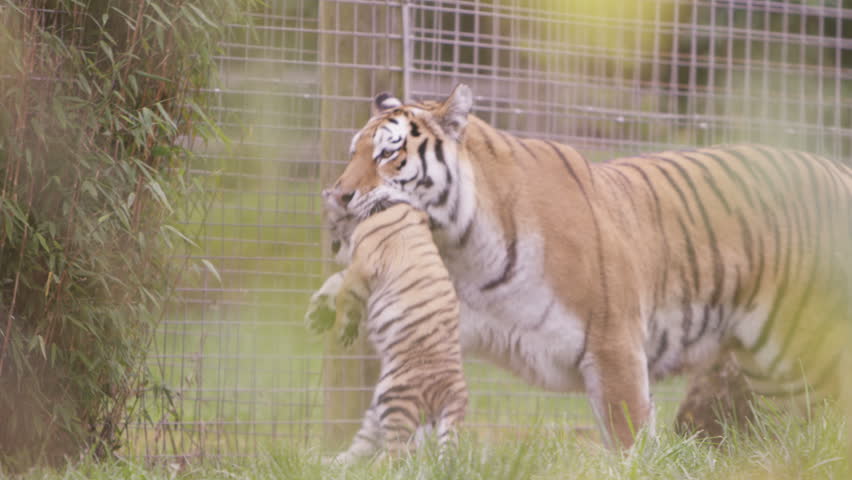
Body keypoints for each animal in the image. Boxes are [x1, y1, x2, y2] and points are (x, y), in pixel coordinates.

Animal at [306, 202, 468, 463]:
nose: (333, 245)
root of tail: (455, 394)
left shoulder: (364, 263)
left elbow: (346, 296)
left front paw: (345, 330)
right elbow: (337, 281)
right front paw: (318, 314)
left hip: (394, 396)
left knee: (400, 454)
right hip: (377, 410)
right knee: (363, 449)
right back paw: (328, 462)